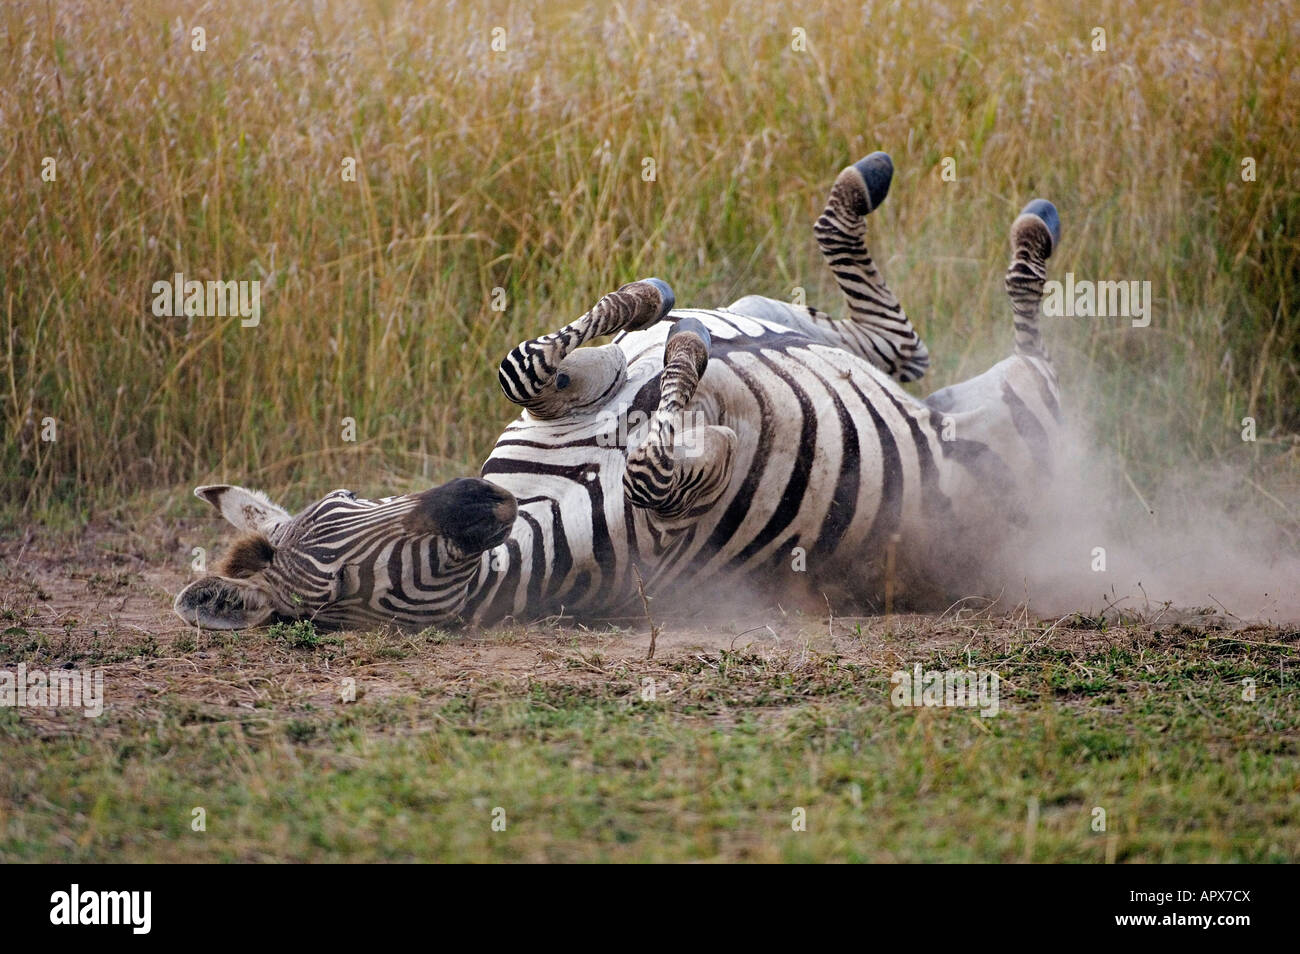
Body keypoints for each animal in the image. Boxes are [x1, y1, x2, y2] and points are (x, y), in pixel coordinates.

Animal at [173, 152, 1062, 630]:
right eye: (342, 590)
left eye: (353, 499)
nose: (479, 501)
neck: (544, 499)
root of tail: (948, 419)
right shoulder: (666, 532)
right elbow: (654, 468)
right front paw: (690, 381)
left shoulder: (550, 400)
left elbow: (527, 363)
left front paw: (648, 308)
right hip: (1015, 427)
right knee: (1016, 361)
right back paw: (1029, 240)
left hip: (779, 311)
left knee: (899, 346)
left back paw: (880, 192)